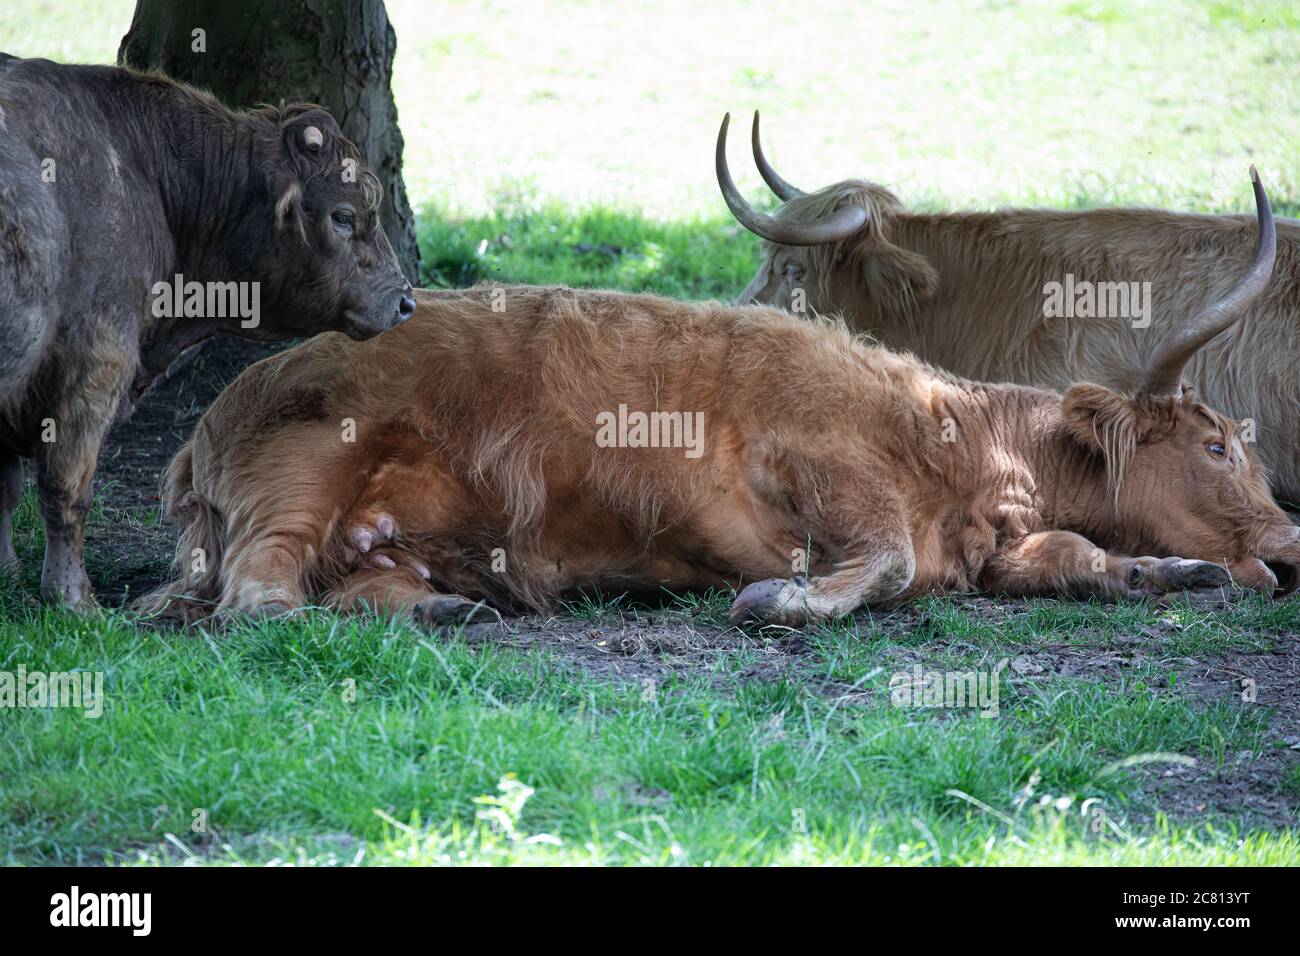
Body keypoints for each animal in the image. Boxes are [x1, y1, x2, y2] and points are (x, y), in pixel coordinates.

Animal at [0, 56, 416, 608]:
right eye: (344, 217)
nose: (405, 301)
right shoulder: (96, 363)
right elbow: (66, 488)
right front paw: (73, 599)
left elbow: (5, 487)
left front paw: (5, 573)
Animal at [140, 169, 1298, 629]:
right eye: (1216, 445)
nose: (1289, 537)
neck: (964, 443)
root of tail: (210, 425)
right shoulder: (818, 466)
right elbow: (881, 560)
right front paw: (780, 599)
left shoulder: (999, 544)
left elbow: (1079, 556)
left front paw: (1174, 569)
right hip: (303, 470)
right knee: (259, 593)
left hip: (380, 530)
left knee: (344, 583)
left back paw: (443, 602)